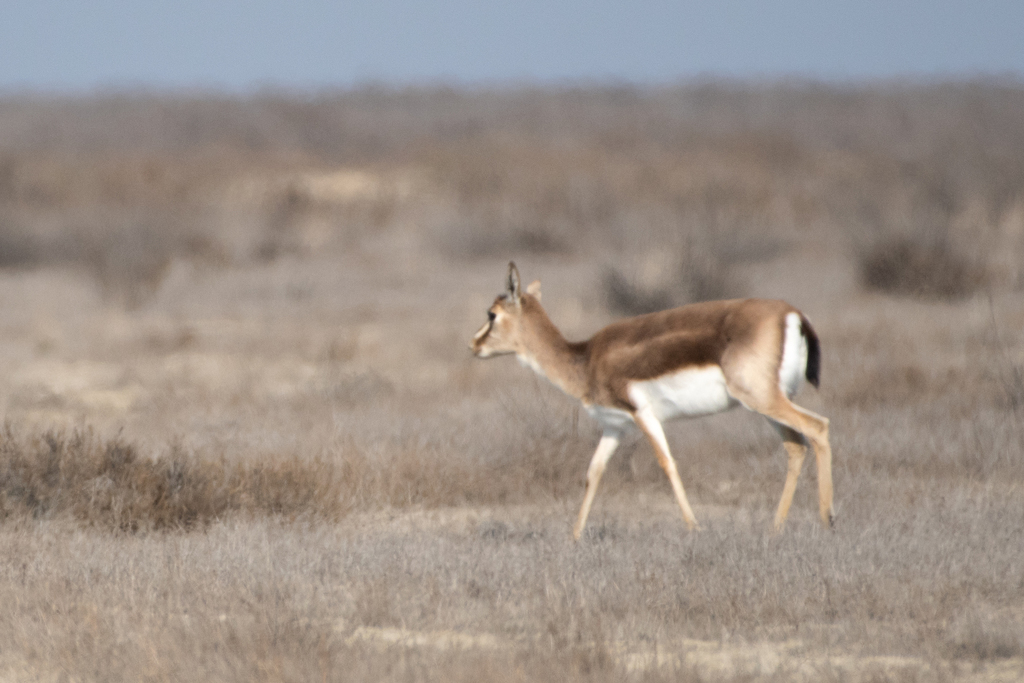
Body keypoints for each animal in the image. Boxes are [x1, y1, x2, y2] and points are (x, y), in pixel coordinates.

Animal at [471, 263, 833, 540]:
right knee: (796, 445)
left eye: (492, 314)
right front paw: (573, 537)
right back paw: (775, 528)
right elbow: (594, 471)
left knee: (818, 426)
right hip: (769, 402)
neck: (585, 359)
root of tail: (792, 314)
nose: (474, 346)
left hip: (763, 399)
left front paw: (694, 528)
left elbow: (666, 463)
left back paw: (827, 519)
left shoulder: (642, 414)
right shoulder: (615, 426)